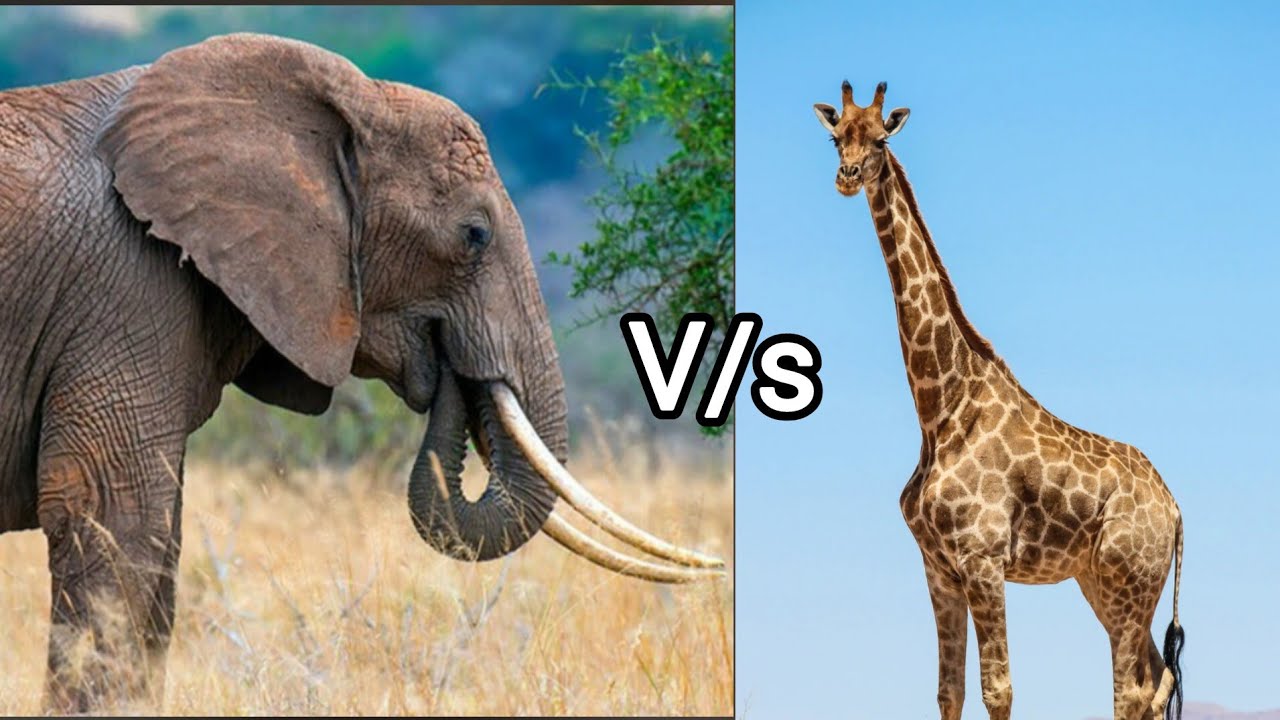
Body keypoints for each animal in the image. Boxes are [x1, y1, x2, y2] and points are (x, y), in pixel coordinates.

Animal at [811, 80, 1185, 720]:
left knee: (1132, 691)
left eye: (882, 139)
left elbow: (999, 688)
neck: (940, 408)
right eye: (837, 136)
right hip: (1102, 583)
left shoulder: (982, 558)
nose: (848, 174)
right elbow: (948, 690)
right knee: (1156, 681)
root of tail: (1177, 510)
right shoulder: (937, 565)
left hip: (1128, 582)